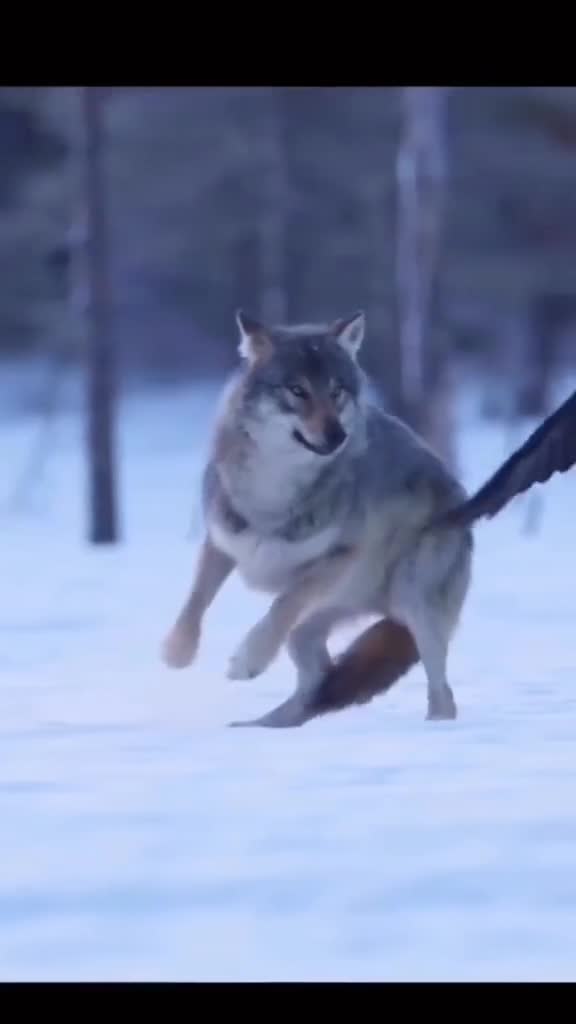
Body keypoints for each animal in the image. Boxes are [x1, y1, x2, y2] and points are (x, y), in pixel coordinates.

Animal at [161, 309, 474, 729]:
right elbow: (196, 600)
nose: (337, 434)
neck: (273, 492)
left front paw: (248, 661)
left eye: (337, 391)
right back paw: (262, 726)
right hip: (314, 628)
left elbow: (283, 603)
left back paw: (436, 727)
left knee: (442, 694)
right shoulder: (222, 541)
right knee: (316, 685)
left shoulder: (340, 558)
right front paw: (177, 651)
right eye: (297, 390)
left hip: (413, 603)